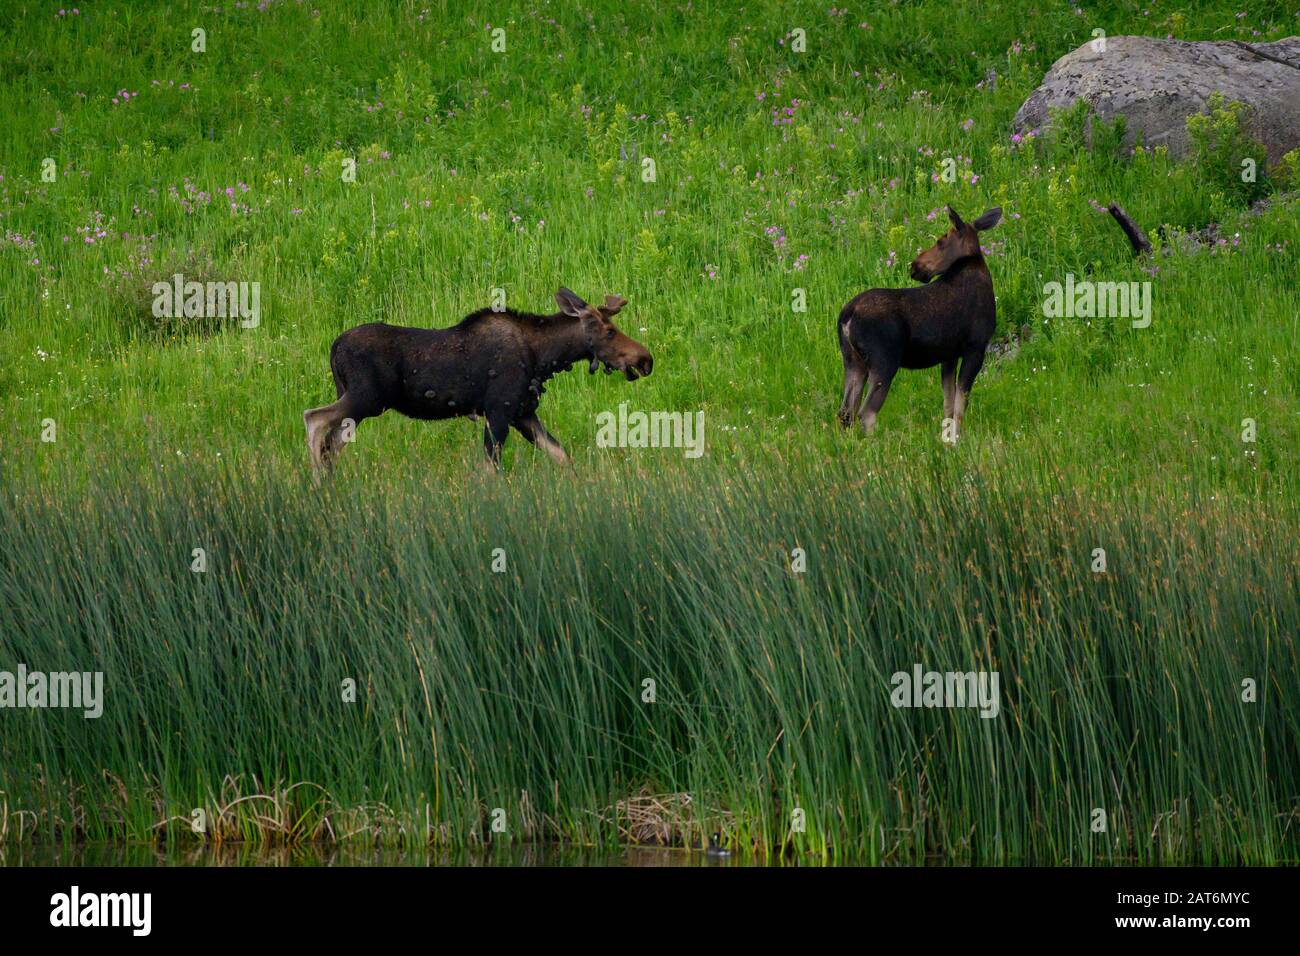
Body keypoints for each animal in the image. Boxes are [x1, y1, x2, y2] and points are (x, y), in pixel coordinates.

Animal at [304, 287, 653, 473]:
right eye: (610, 331)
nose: (645, 359)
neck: (543, 357)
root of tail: (334, 347)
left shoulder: (523, 412)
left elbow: (560, 455)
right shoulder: (499, 409)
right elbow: (491, 469)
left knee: (331, 444)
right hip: (366, 398)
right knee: (314, 419)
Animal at [836, 205, 1002, 443]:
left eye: (940, 241)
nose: (915, 266)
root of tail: (846, 315)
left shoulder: (949, 355)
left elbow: (948, 403)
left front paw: (946, 439)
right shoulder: (975, 348)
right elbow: (960, 404)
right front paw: (957, 440)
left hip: (853, 362)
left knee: (845, 412)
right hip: (884, 362)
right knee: (866, 412)